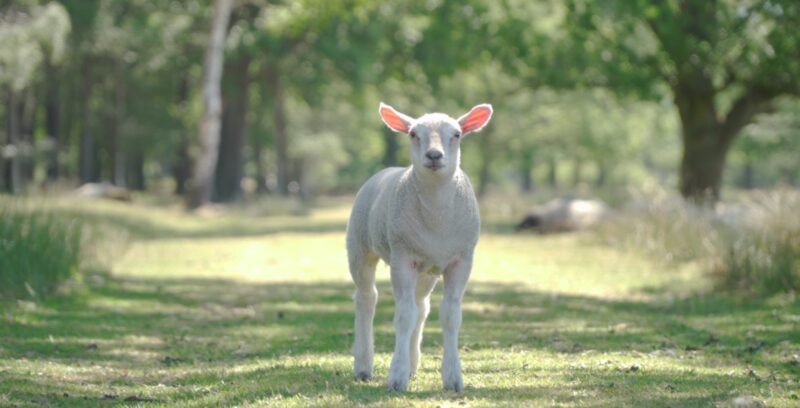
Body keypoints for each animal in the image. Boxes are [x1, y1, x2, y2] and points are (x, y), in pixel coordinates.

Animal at [346, 102, 493, 392]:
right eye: (413, 134)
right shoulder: (403, 256)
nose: (434, 155)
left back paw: (413, 363)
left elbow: (450, 315)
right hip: (359, 246)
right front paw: (397, 376)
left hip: (428, 268)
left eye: (457, 134)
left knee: (421, 306)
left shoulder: (461, 259)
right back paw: (364, 366)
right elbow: (404, 315)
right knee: (367, 298)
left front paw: (453, 377)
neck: (437, 219)